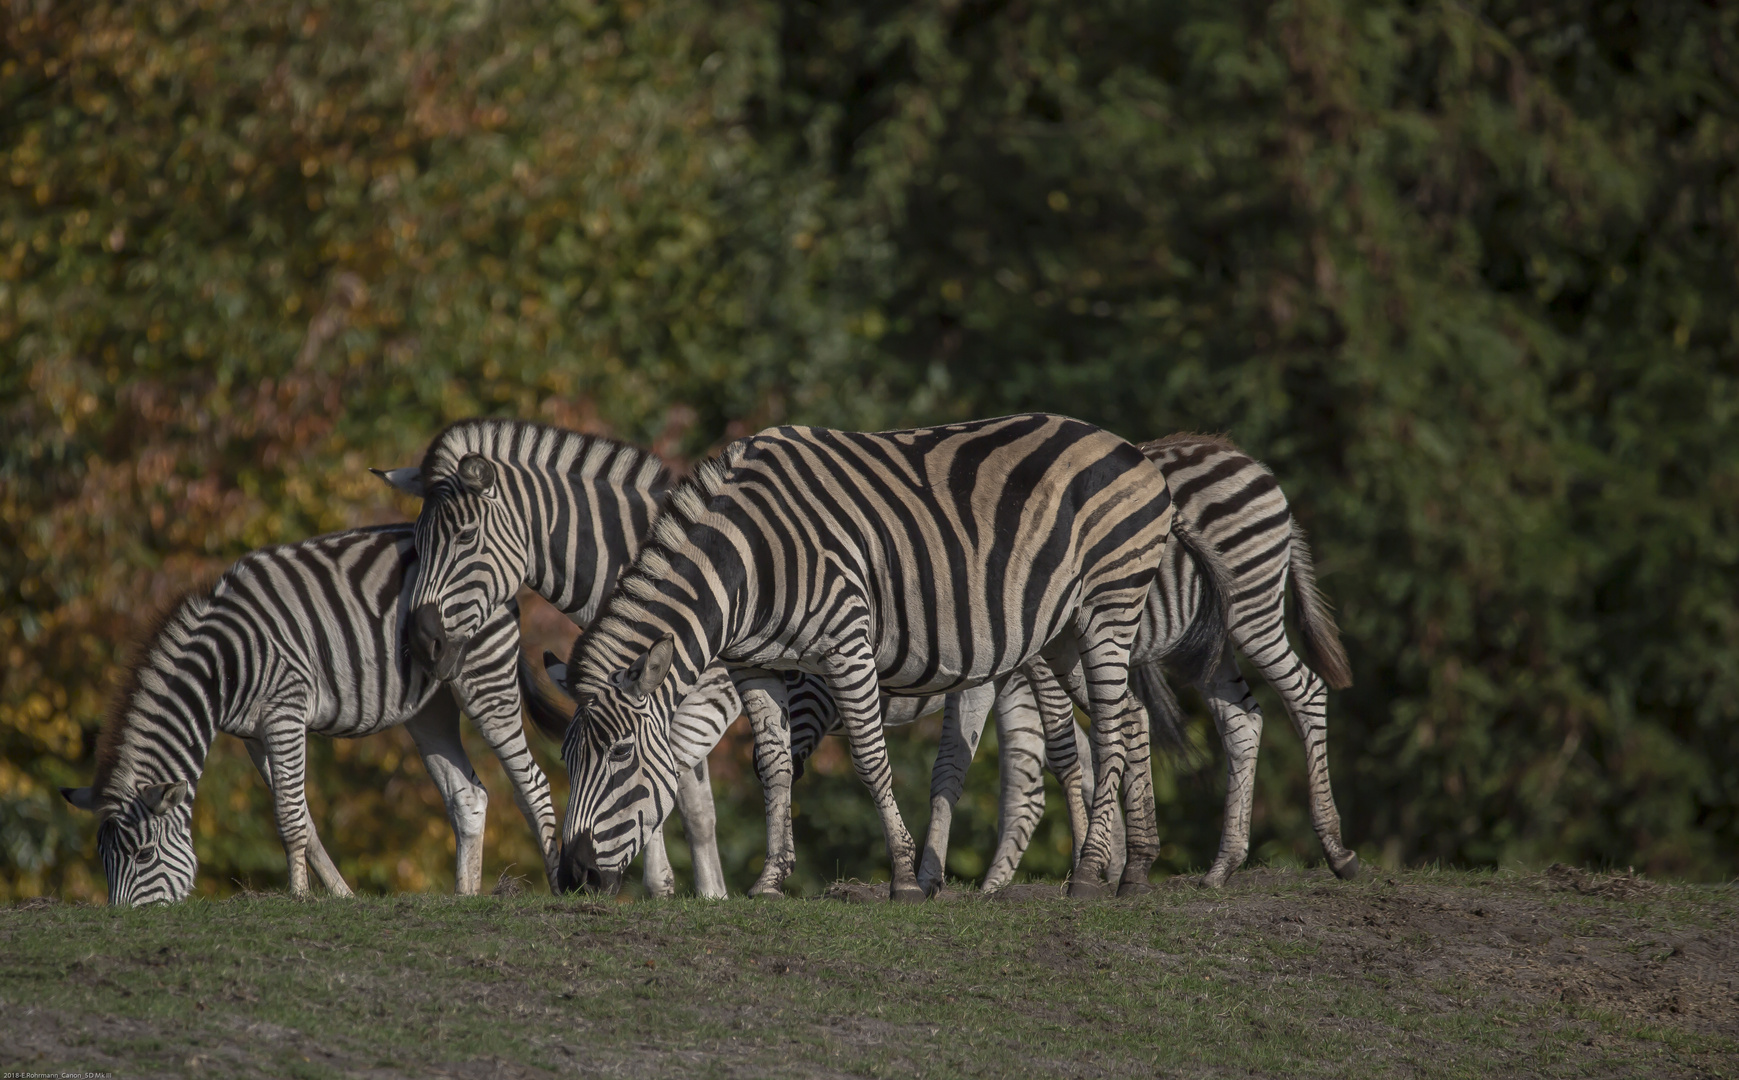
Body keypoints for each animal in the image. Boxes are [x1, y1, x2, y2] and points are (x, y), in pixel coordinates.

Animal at [57, 525, 559, 904]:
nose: (123, 919)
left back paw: (559, 884)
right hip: (430, 707)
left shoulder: (285, 711)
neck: (222, 665)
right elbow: (304, 817)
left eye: (142, 856)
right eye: (102, 859)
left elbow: (290, 816)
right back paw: (465, 898)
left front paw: (298, 896)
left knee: (533, 781)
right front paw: (340, 895)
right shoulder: (255, 735)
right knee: (467, 796)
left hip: (485, 679)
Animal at [556, 412, 1182, 904]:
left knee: (1110, 728)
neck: (748, 564)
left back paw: (1089, 875)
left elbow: (871, 760)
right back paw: (1136, 870)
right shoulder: (753, 664)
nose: (572, 876)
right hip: (1062, 634)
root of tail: (1126, 446)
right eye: (568, 759)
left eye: (620, 754)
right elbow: (775, 765)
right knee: (1132, 714)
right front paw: (770, 882)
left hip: (1109, 605)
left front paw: (903, 879)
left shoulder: (847, 643)